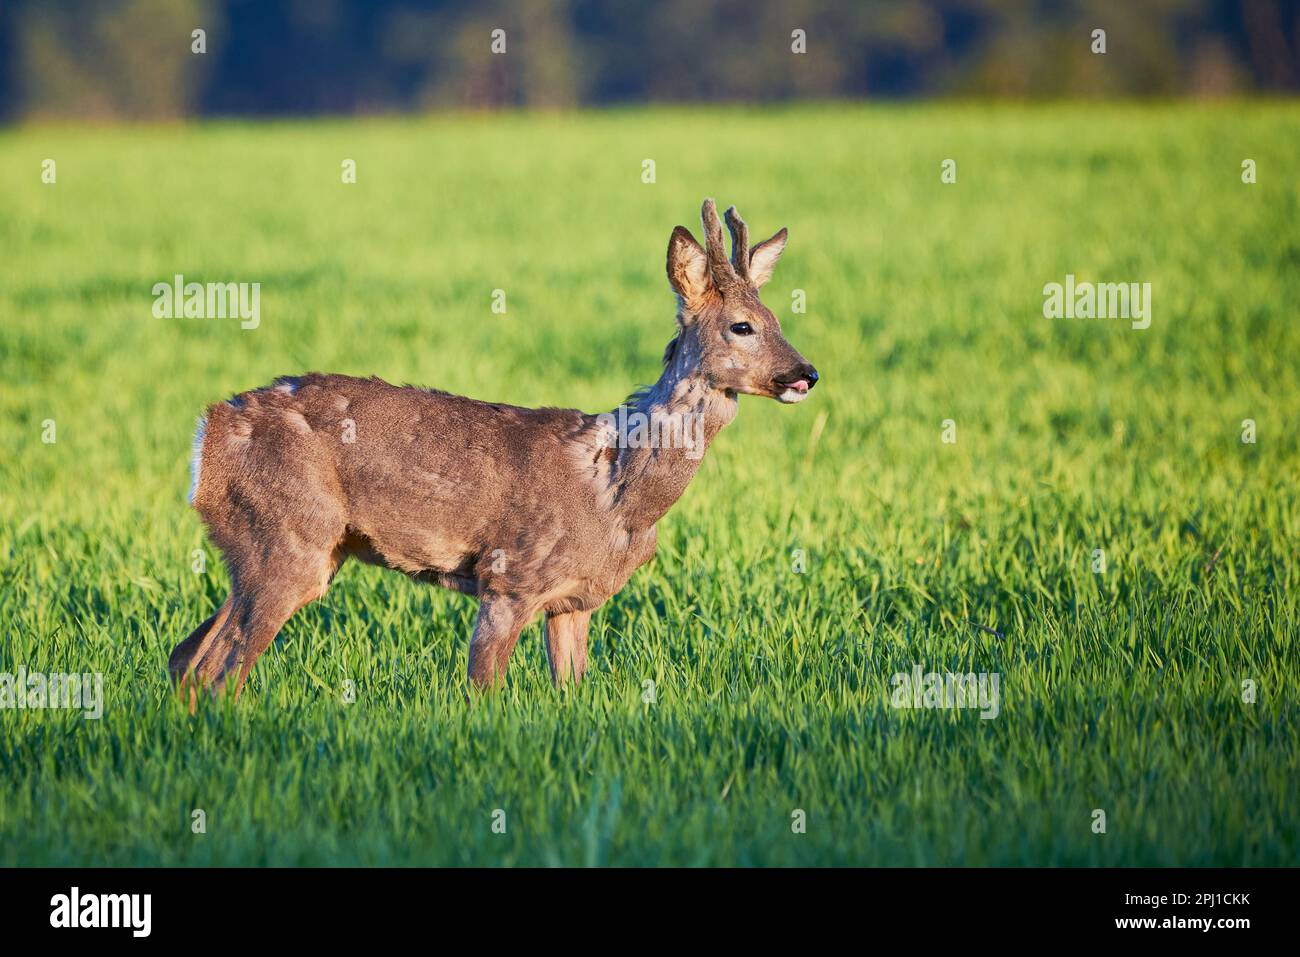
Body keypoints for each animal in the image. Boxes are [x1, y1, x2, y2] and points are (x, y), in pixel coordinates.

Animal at [168, 200, 819, 704]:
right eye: (741, 326)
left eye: (778, 318)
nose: (805, 373)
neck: (618, 491)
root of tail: (207, 435)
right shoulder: (510, 578)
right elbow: (483, 690)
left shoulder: (574, 600)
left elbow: (571, 690)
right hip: (289, 536)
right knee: (216, 669)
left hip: (277, 549)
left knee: (184, 656)